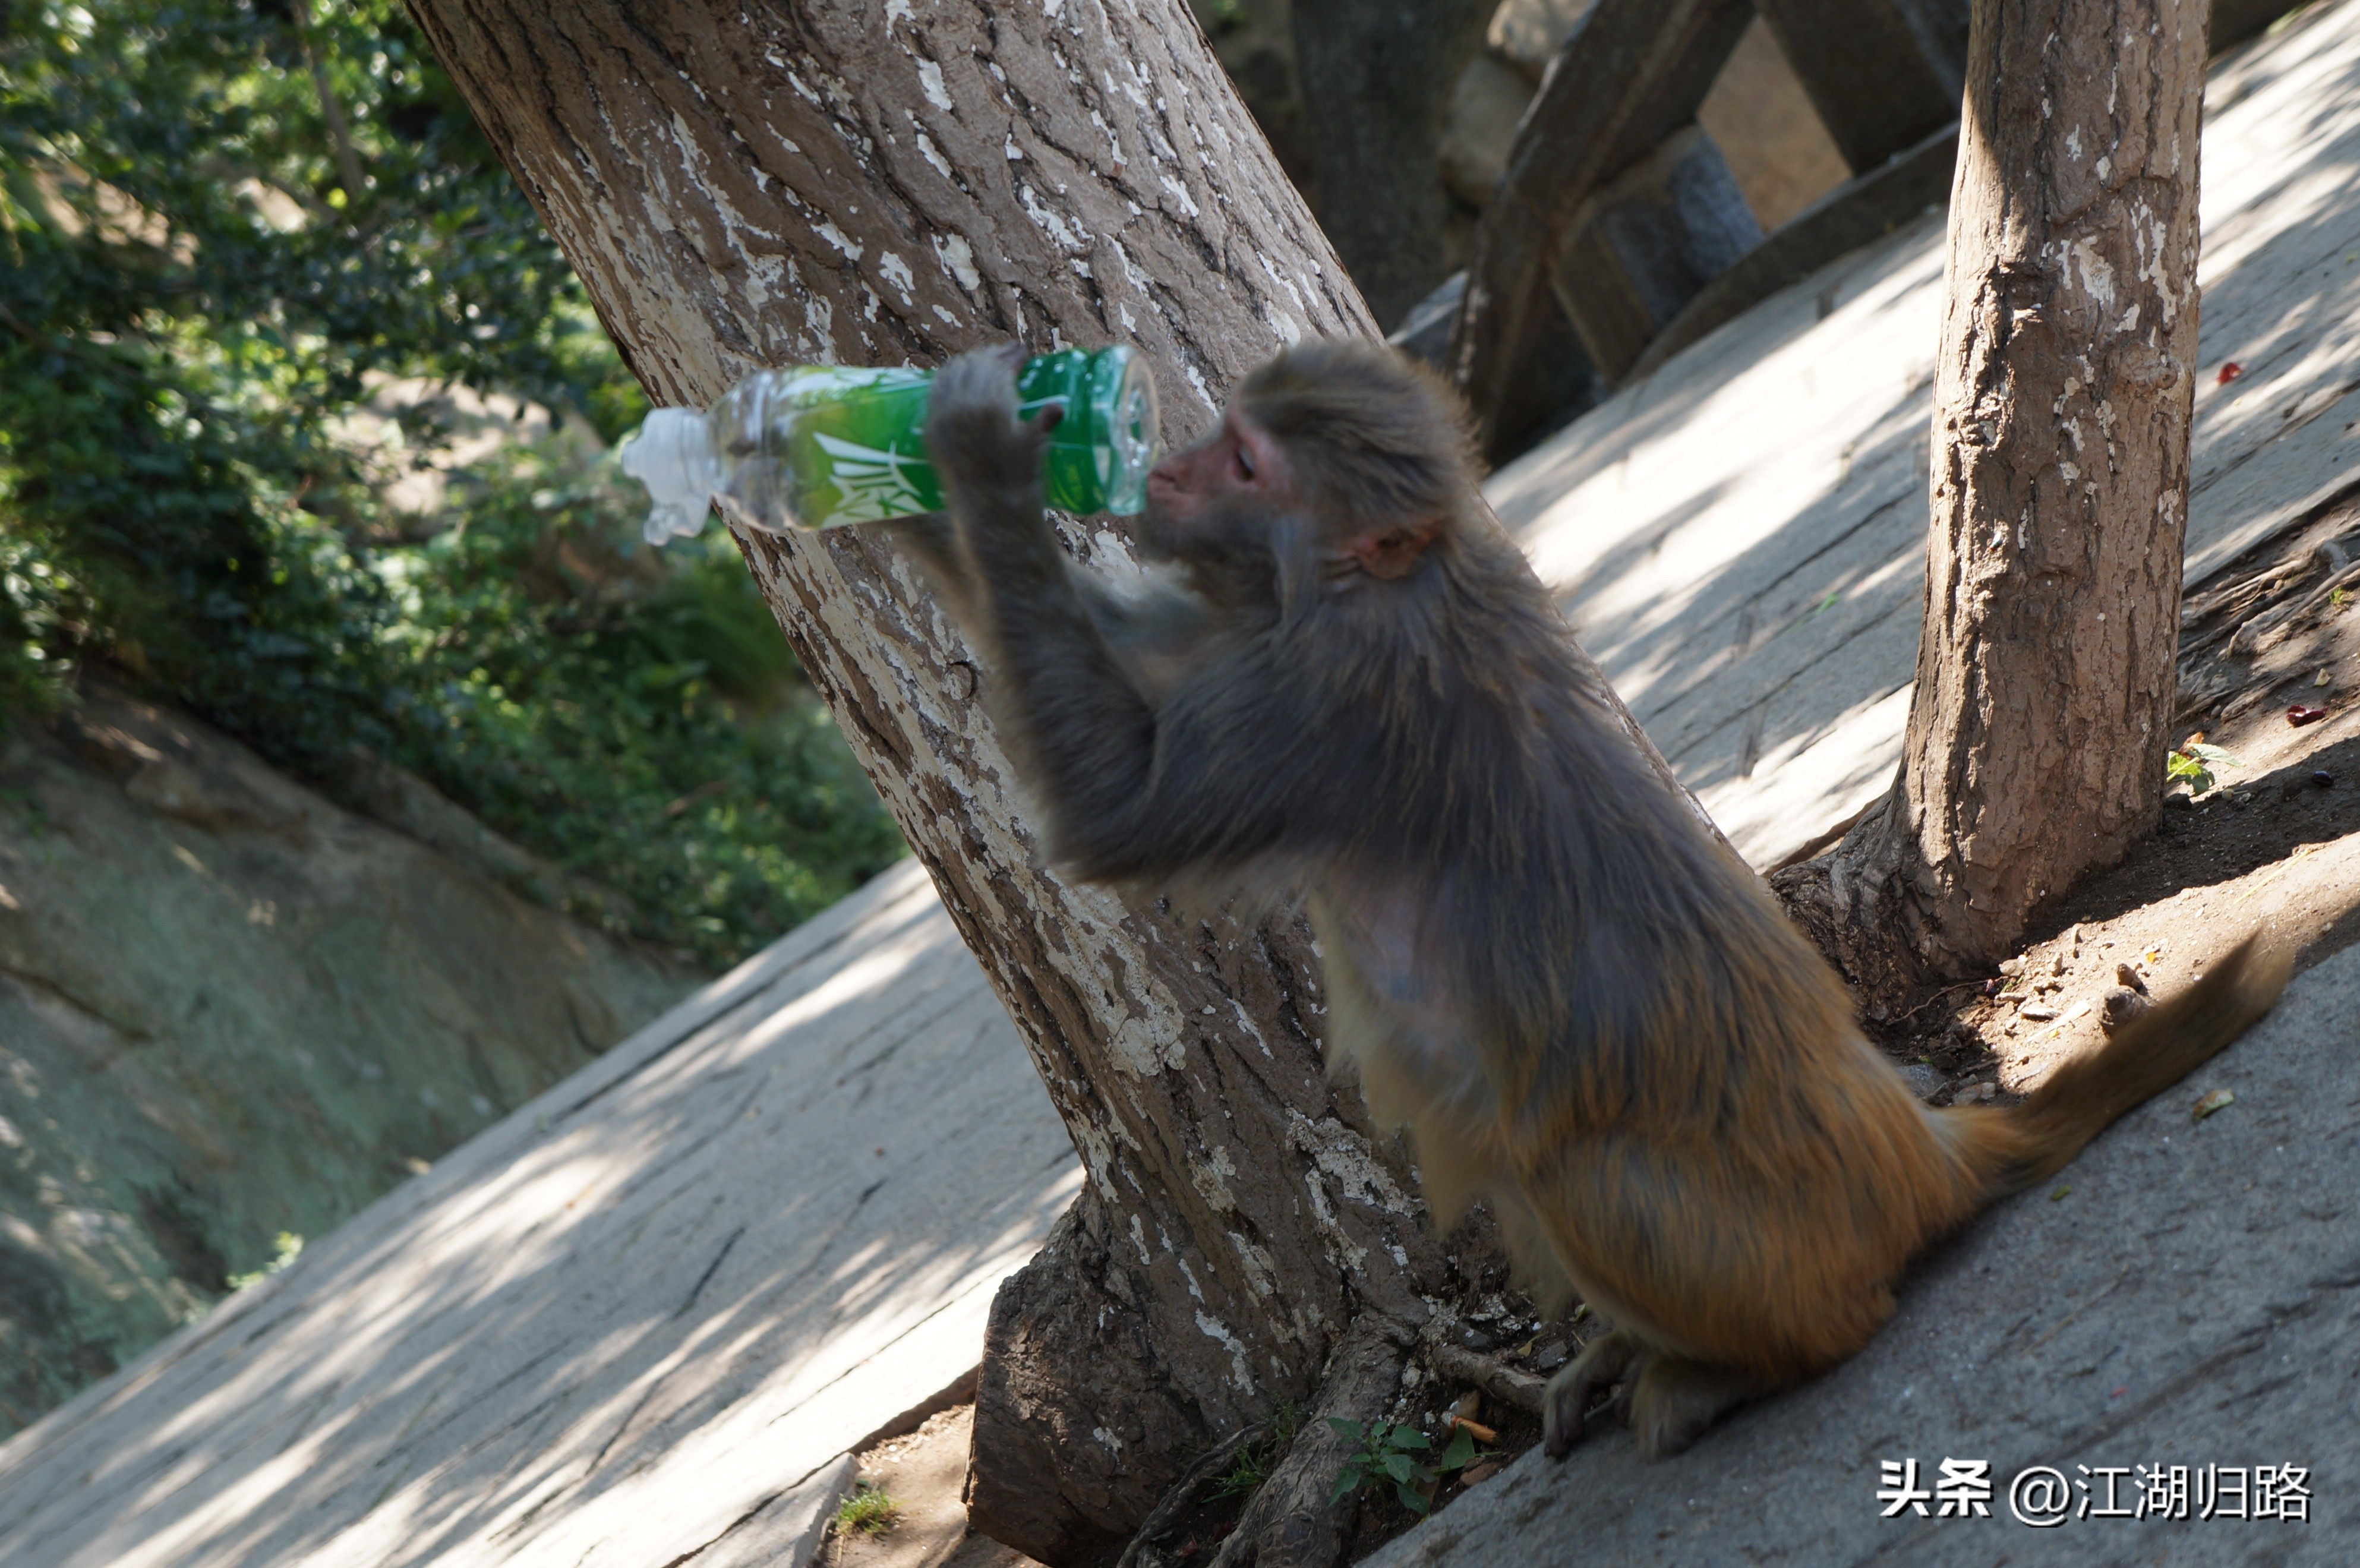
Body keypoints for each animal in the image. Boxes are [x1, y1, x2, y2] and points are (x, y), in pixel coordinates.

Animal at [910, 339, 2290, 1460]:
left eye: (1244, 459)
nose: (1168, 469)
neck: (1378, 583)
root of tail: (1925, 1153)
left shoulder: (1328, 697)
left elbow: (1112, 811)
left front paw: (972, 457)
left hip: (1777, 1246)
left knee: (1579, 1167)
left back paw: (1744, 1362)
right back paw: (1628, 1348)